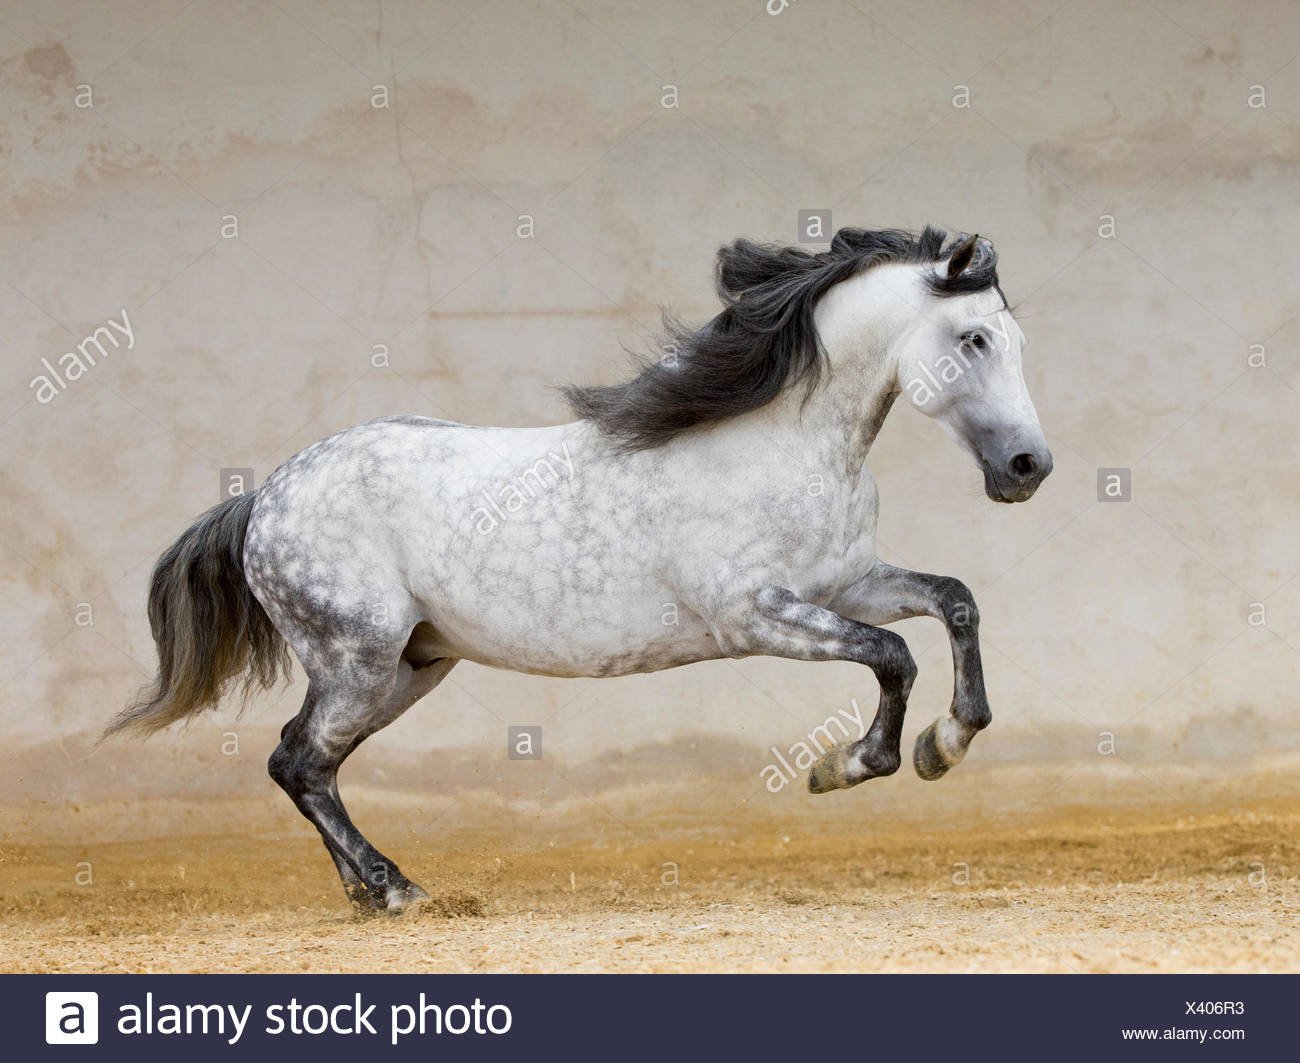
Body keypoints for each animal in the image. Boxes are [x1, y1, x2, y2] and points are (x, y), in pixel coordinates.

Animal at [106, 226, 1053, 914]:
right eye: (973, 337)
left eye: (1015, 337)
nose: (1028, 466)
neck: (786, 446)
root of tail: (266, 494)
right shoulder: (756, 614)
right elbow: (894, 655)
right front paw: (850, 764)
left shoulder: (846, 585)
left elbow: (955, 603)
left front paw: (946, 741)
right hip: (358, 661)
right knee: (297, 762)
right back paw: (396, 889)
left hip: (409, 666)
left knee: (309, 763)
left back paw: (366, 892)